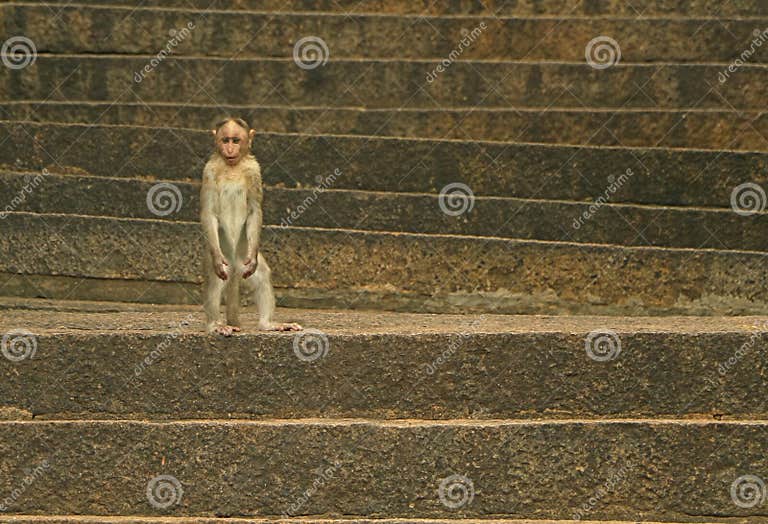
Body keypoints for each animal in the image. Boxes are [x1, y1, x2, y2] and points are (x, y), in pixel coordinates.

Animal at [200, 117, 302, 336]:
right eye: (225, 140)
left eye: (236, 140)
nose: (230, 149)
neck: (233, 166)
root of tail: (235, 268)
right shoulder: (209, 171)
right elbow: (209, 213)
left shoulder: (254, 170)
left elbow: (255, 210)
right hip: (223, 260)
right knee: (216, 278)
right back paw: (215, 326)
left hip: (243, 259)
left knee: (262, 274)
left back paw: (268, 324)